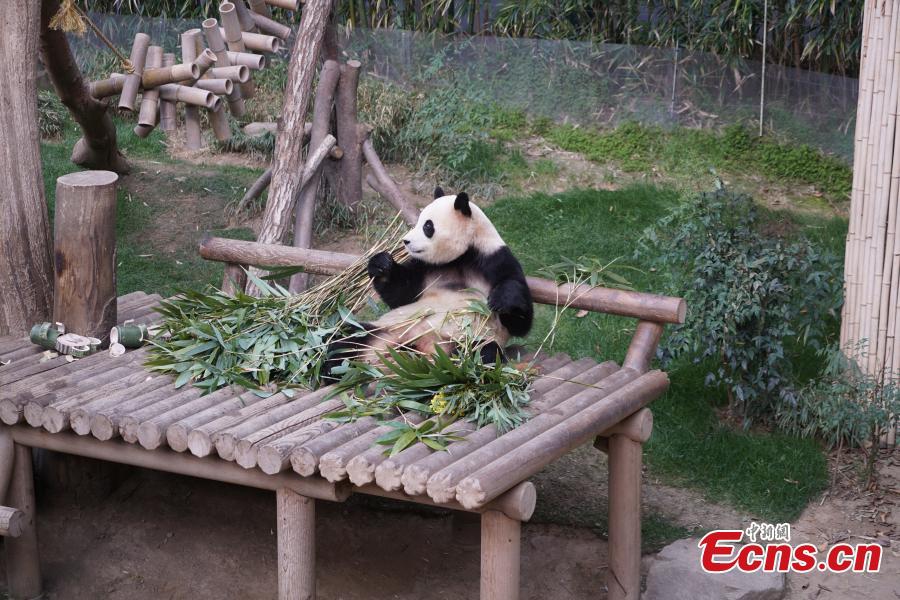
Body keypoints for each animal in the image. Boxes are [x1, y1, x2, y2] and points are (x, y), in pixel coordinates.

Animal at [329, 187, 533, 369]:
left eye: (427, 226)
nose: (406, 241)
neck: (463, 256)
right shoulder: (426, 267)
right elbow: (400, 293)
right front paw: (381, 264)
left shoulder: (495, 259)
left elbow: (519, 322)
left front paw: (502, 300)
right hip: (387, 329)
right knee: (346, 338)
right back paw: (333, 368)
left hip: (462, 341)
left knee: (481, 353)